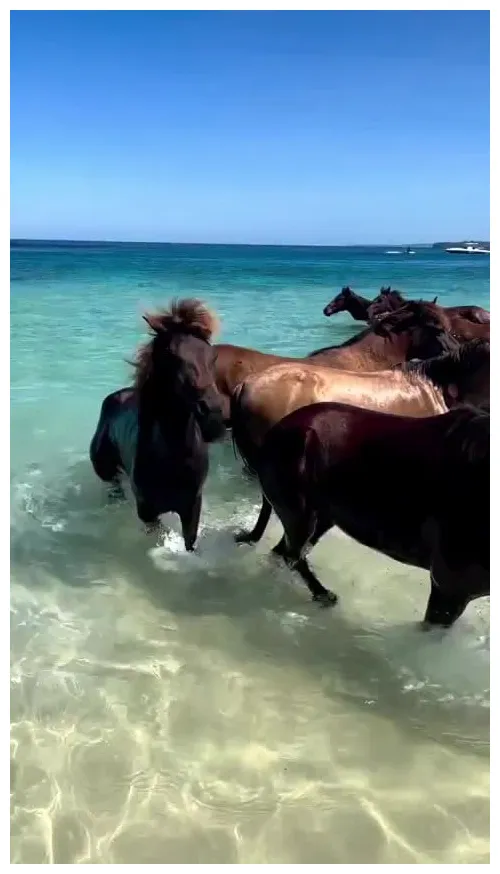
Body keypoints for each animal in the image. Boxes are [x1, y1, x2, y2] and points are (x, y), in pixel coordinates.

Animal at [89, 298, 226, 550]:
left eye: (212, 356)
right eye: (171, 354)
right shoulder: (147, 511)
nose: (213, 414)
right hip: (110, 476)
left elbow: (189, 542)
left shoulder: (192, 507)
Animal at [232, 400, 489, 629]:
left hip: (319, 518)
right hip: (300, 514)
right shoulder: (449, 586)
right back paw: (324, 595)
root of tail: (276, 430)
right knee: (292, 555)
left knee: (285, 553)